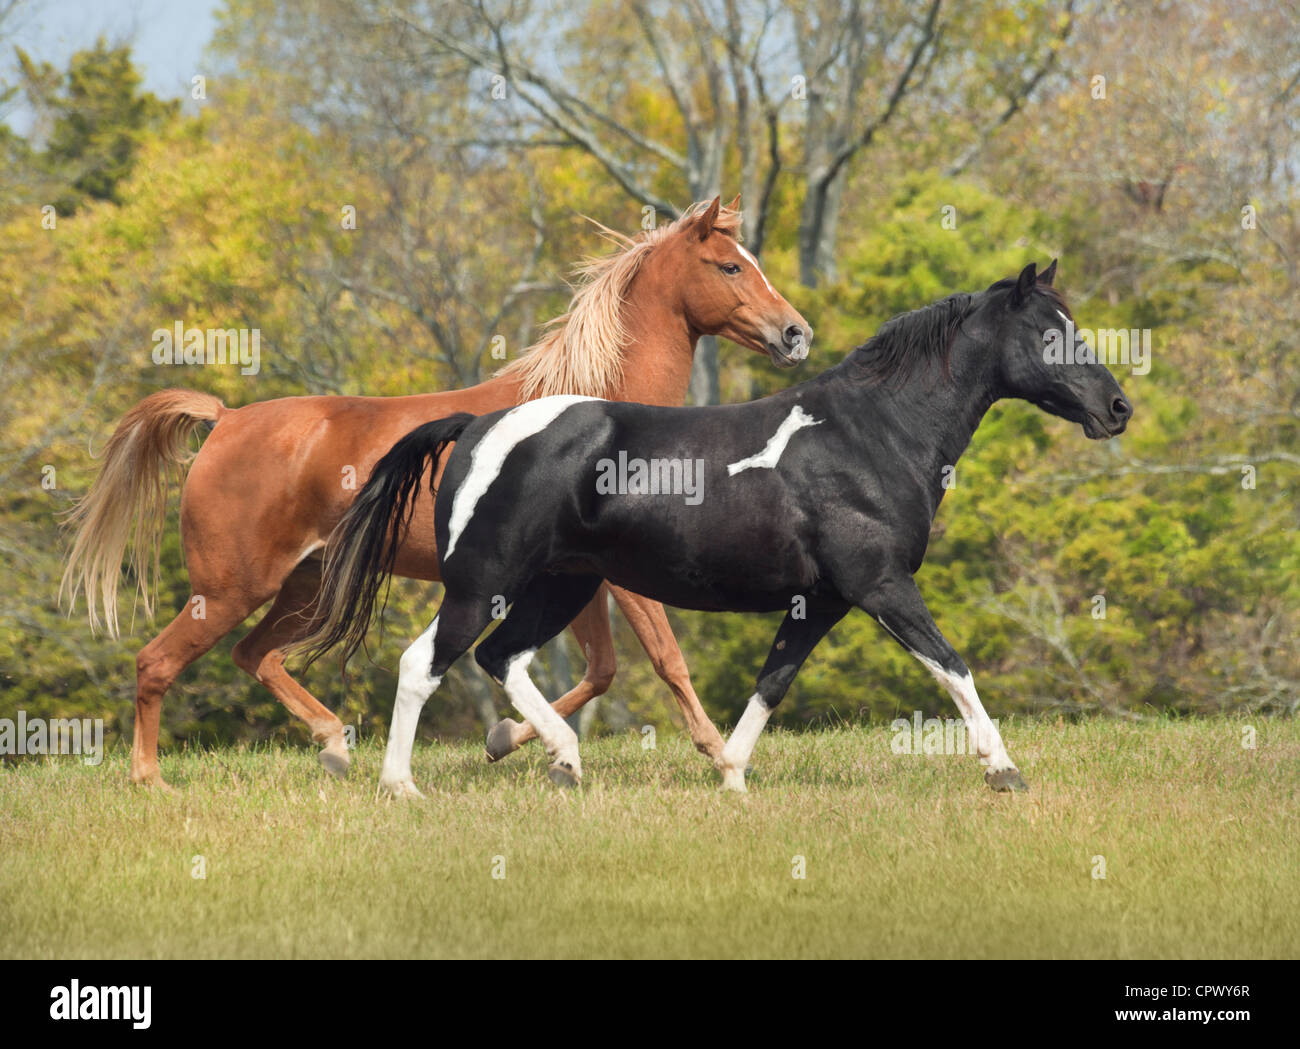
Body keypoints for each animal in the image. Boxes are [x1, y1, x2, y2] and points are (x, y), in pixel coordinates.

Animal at [59, 197, 813, 789]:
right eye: (730, 266)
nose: (796, 332)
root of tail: (227, 418)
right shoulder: (622, 579)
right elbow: (664, 658)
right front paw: (720, 756)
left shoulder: (583, 578)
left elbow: (599, 670)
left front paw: (508, 741)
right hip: (228, 590)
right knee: (156, 663)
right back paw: (150, 779)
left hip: (303, 586)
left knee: (254, 655)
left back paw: (335, 748)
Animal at [298, 261, 1132, 795]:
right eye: (1051, 334)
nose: (1117, 407)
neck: (871, 434)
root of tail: (477, 426)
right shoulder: (881, 584)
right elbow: (952, 666)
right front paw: (1004, 769)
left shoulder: (821, 600)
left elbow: (772, 682)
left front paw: (730, 775)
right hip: (483, 585)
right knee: (426, 662)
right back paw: (402, 786)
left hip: (557, 586)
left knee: (498, 659)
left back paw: (563, 762)